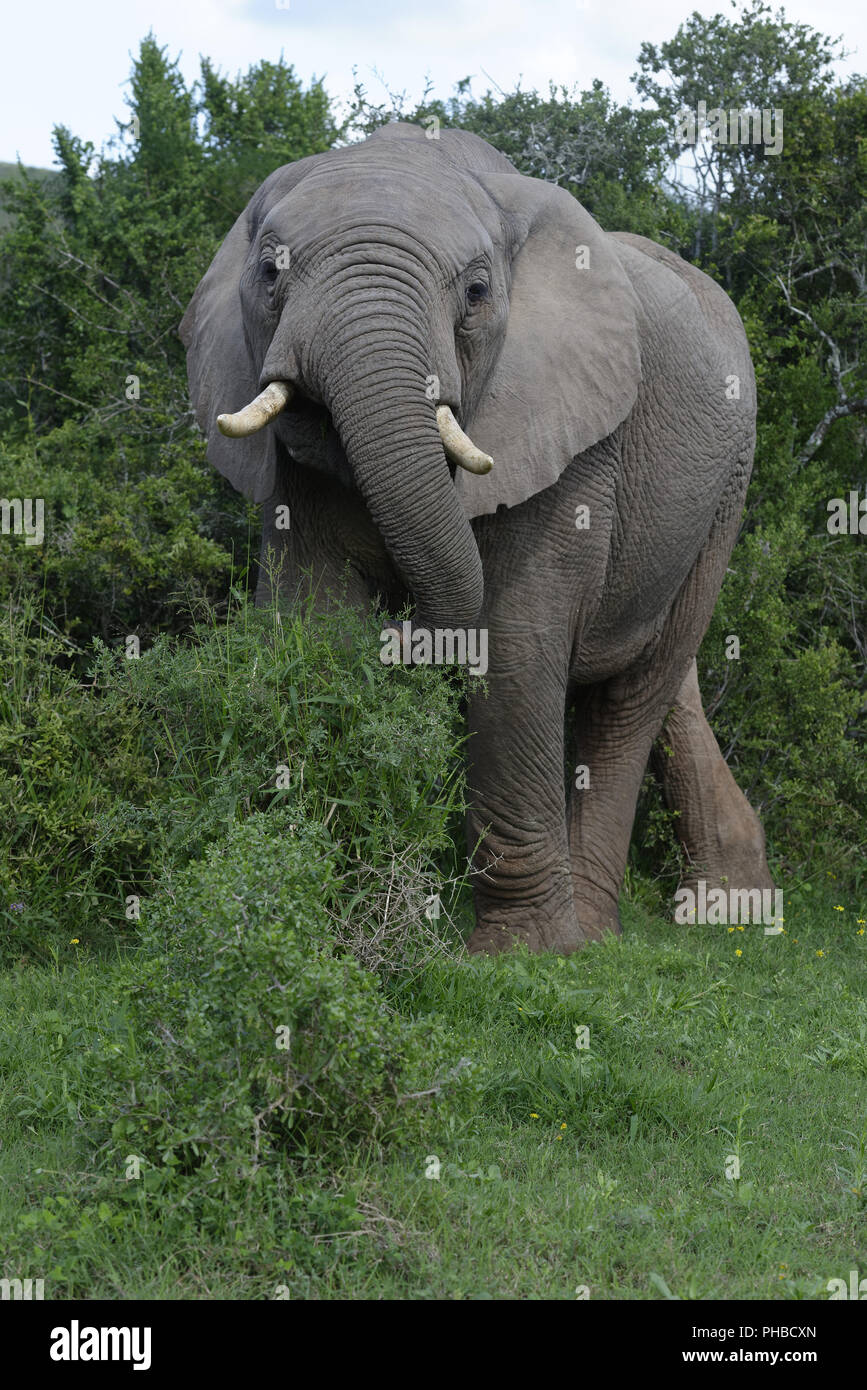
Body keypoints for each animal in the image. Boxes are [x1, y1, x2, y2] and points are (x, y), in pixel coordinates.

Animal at [180, 121, 772, 954]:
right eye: (269, 273)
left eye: (476, 293)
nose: (402, 629)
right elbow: (312, 624)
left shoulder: (568, 438)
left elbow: (514, 643)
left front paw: (524, 954)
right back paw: (724, 905)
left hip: (728, 487)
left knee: (631, 696)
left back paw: (601, 935)